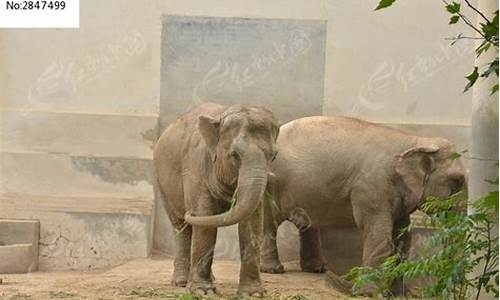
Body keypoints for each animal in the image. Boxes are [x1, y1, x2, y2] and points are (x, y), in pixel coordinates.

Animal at [154, 102, 280, 296]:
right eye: (234, 155)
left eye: (273, 156)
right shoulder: (195, 165)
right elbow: (203, 215)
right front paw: (203, 292)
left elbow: (252, 223)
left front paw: (253, 294)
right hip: (163, 183)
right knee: (181, 227)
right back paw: (181, 282)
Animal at [260, 116, 466, 296]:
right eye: (457, 182)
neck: (414, 140)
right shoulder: (372, 187)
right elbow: (377, 232)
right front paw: (368, 293)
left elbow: (402, 236)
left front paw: (398, 294)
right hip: (272, 184)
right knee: (269, 222)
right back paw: (273, 270)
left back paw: (316, 269)